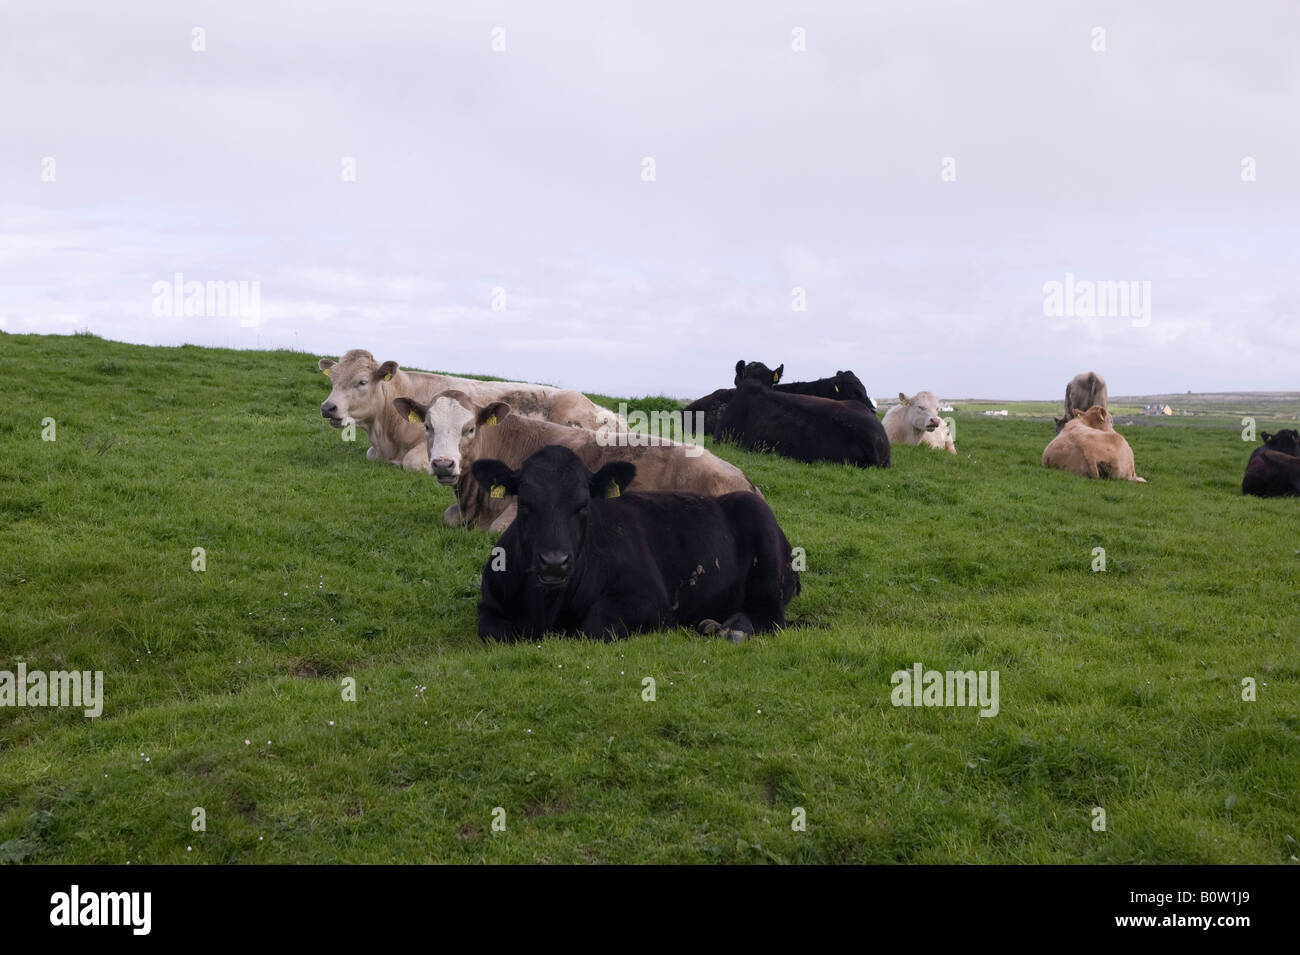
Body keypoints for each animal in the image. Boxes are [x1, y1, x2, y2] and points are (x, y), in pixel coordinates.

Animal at [471, 445, 800, 642]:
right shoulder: (489, 603)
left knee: (770, 616)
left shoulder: (650, 600)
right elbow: (494, 631)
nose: (554, 562)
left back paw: (728, 628)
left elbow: (595, 625)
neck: (545, 610)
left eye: (583, 504)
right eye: (525, 503)